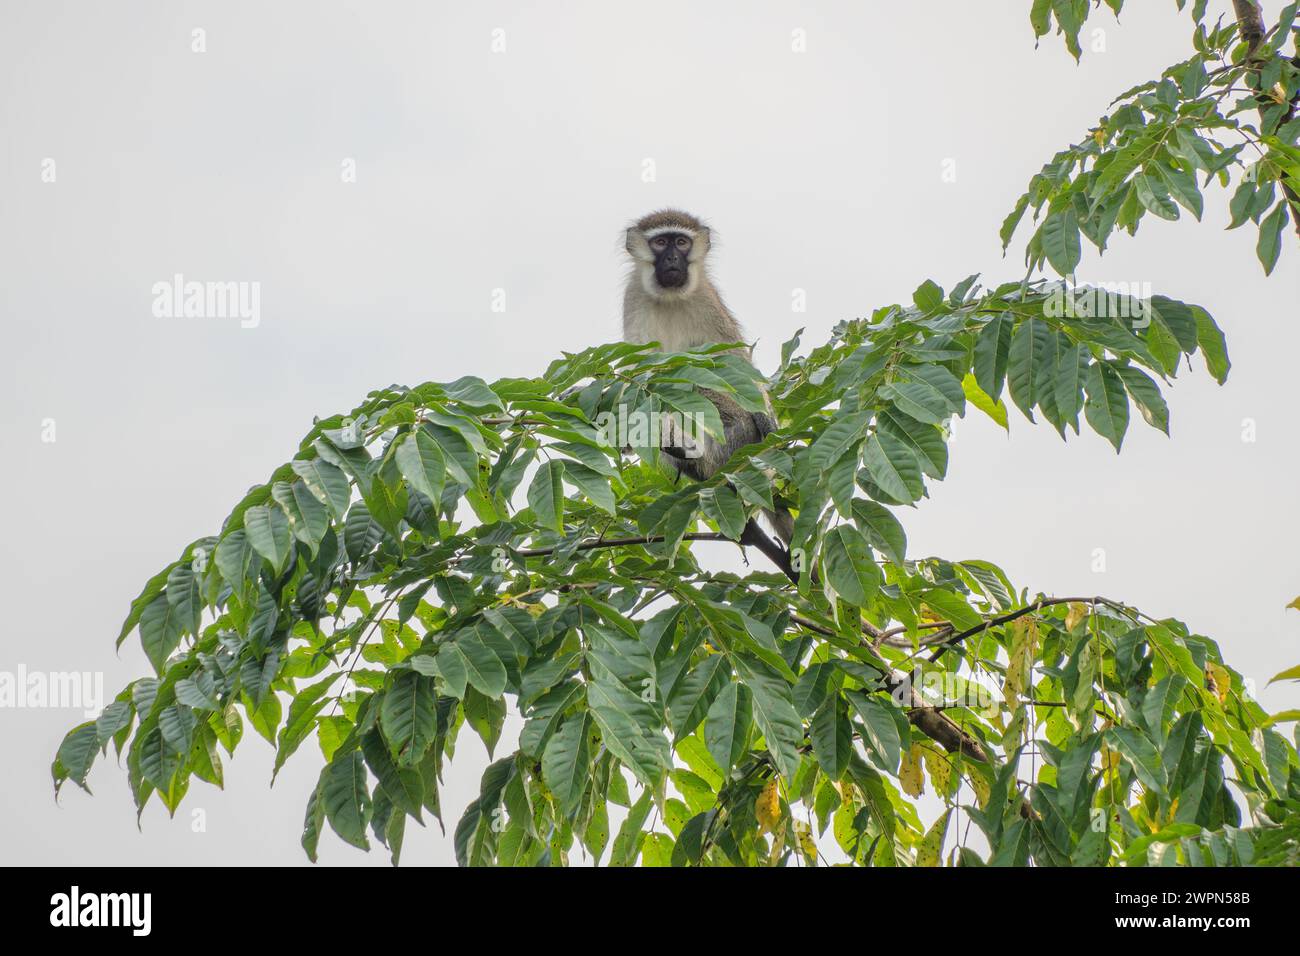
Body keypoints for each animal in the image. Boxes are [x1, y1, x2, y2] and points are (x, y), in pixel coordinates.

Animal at [622, 209, 795, 549]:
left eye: (681, 242)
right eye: (660, 242)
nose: (672, 258)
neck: (671, 297)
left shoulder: (708, 301)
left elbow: (737, 362)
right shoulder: (633, 299)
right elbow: (640, 368)